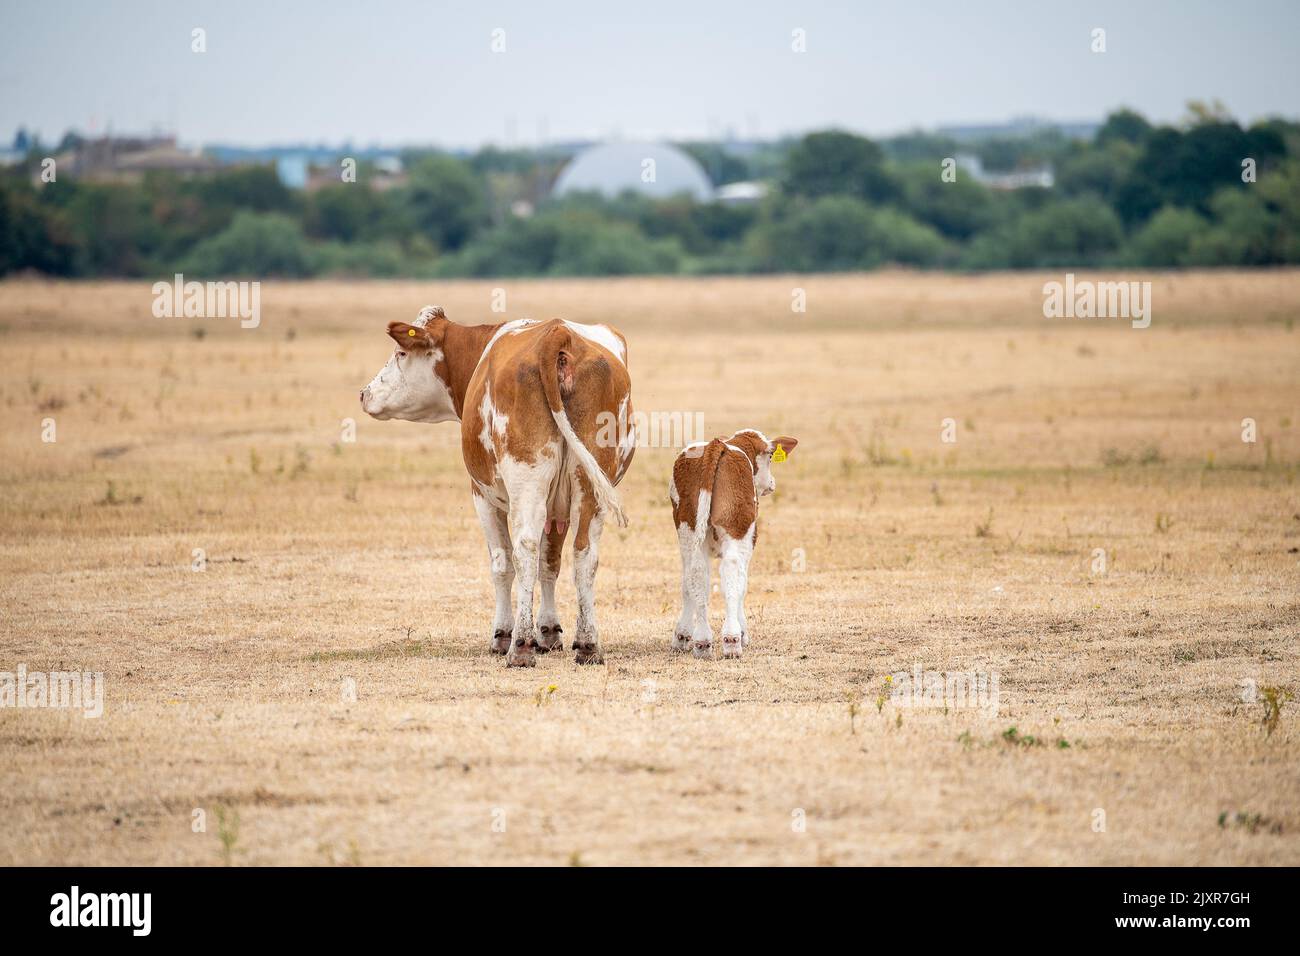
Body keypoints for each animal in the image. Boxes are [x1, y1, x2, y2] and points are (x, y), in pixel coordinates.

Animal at [360, 306, 634, 667]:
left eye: (401, 353)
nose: (364, 394)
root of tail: (557, 334)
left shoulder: (482, 496)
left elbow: (503, 564)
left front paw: (504, 634)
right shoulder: (555, 509)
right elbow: (550, 564)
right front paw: (548, 631)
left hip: (526, 478)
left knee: (524, 550)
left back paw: (520, 646)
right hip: (590, 484)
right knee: (584, 553)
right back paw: (587, 645)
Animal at [669, 430, 797, 659]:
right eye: (770, 456)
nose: (772, 483)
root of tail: (718, 445)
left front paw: (683, 635)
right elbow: (741, 586)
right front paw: (743, 633)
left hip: (687, 528)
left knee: (696, 573)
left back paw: (699, 640)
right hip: (737, 527)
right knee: (731, 570)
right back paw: (732, 640)